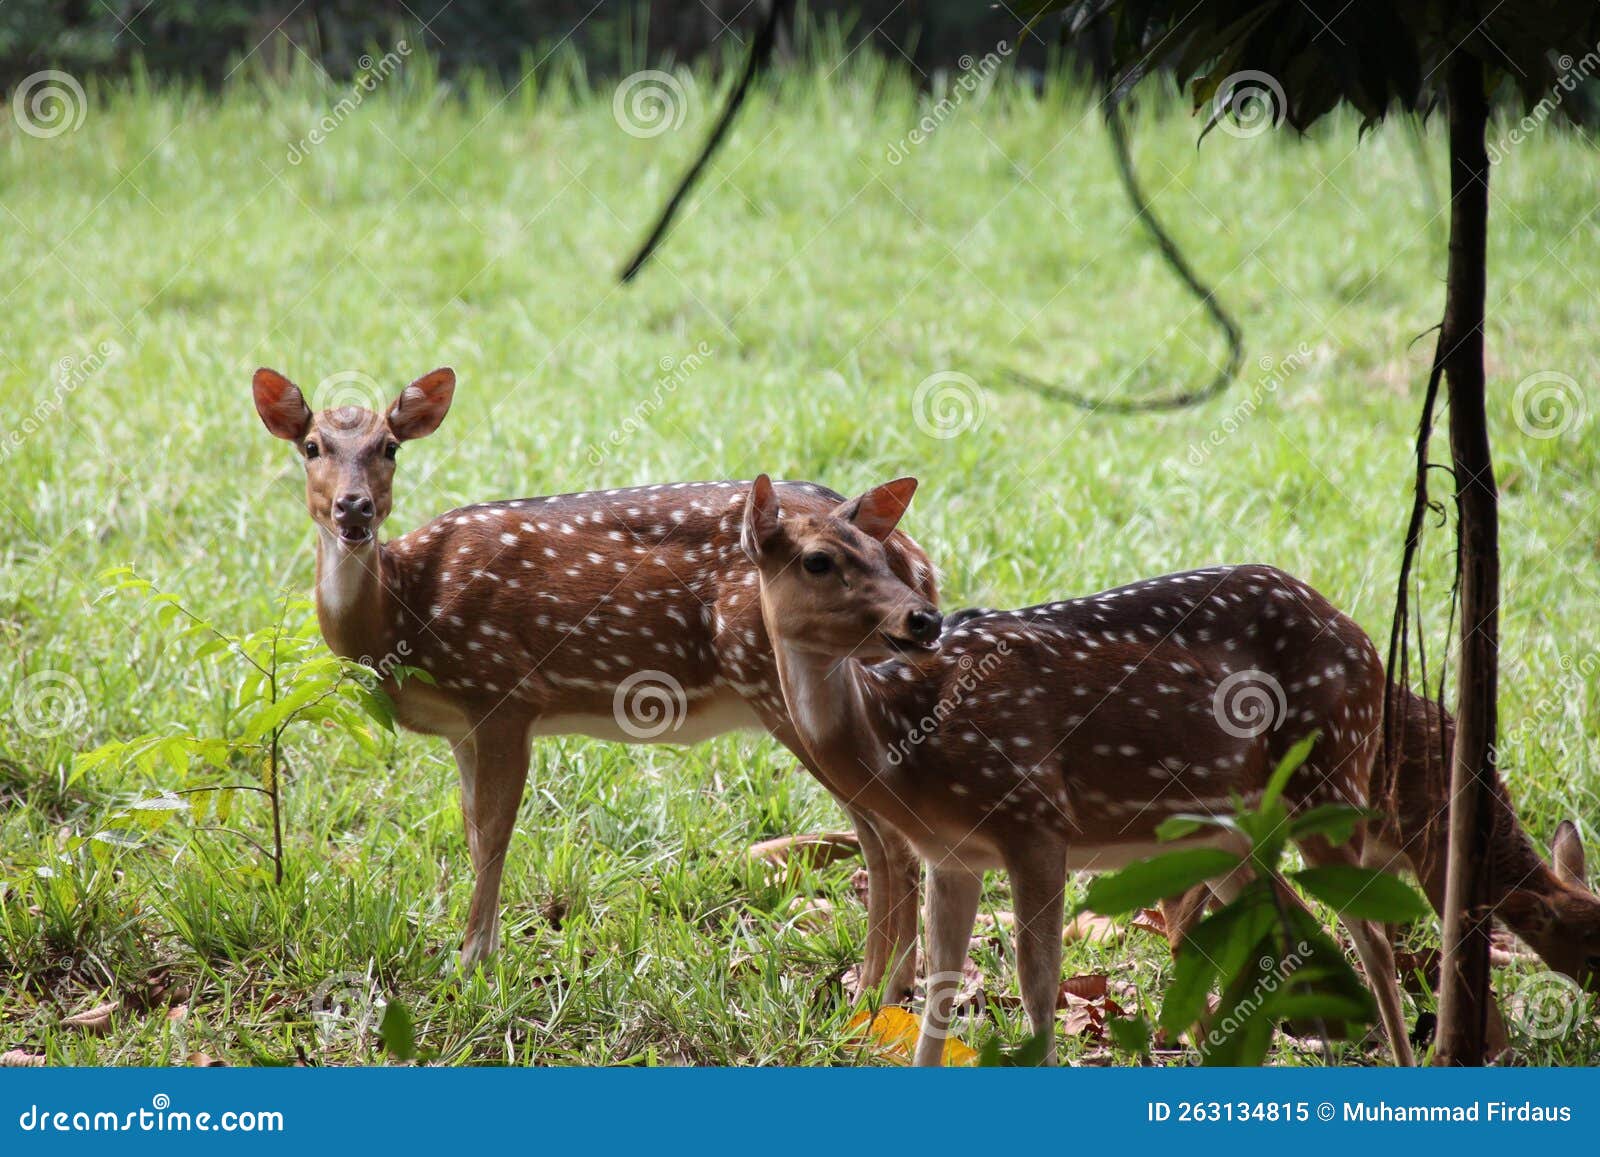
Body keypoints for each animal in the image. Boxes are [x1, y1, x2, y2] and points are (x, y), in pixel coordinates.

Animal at [250, 366, 936, 989]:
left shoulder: (503, 690)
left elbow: (495, 833)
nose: (354, 506)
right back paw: (888, 991)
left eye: (389, 446)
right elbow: (473, 831)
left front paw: (472, 967)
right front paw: (480, 956)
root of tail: (921, 567)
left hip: (780, 684)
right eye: (311, 446)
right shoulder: (462, 726)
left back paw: (873, 996)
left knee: (889, 840)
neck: (405, 611)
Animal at [740, 472, 1416, 1065]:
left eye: (884, 556)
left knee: (1373, 936)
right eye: (818, 561)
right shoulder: (953, 855)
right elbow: (938, 994)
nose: (923, 619)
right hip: (1234, 830)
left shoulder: (1036, 817)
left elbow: (1037, 991)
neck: (907, 746)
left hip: (1331, 770)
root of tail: (1366, 641)